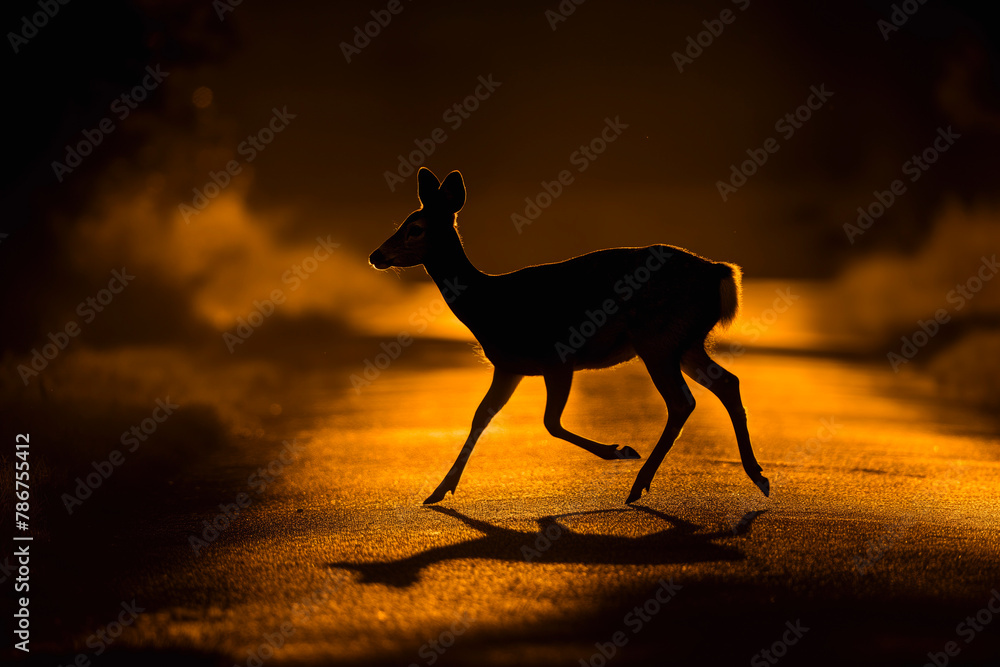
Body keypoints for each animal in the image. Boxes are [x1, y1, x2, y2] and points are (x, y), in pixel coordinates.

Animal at [368, 167, 769, 505]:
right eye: (403, 222)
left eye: (416, 228)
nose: (376, 255)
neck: (488, 305)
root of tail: (720, 272)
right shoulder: (509, 366)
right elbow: (480, 416)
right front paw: (439, 490)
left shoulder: (557, 356)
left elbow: (550, 422)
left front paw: (619, 450)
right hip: (684, 342)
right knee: (727, 382)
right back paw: (757, 475)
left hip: (657, 338)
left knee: (683, 402)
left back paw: (639, 483)